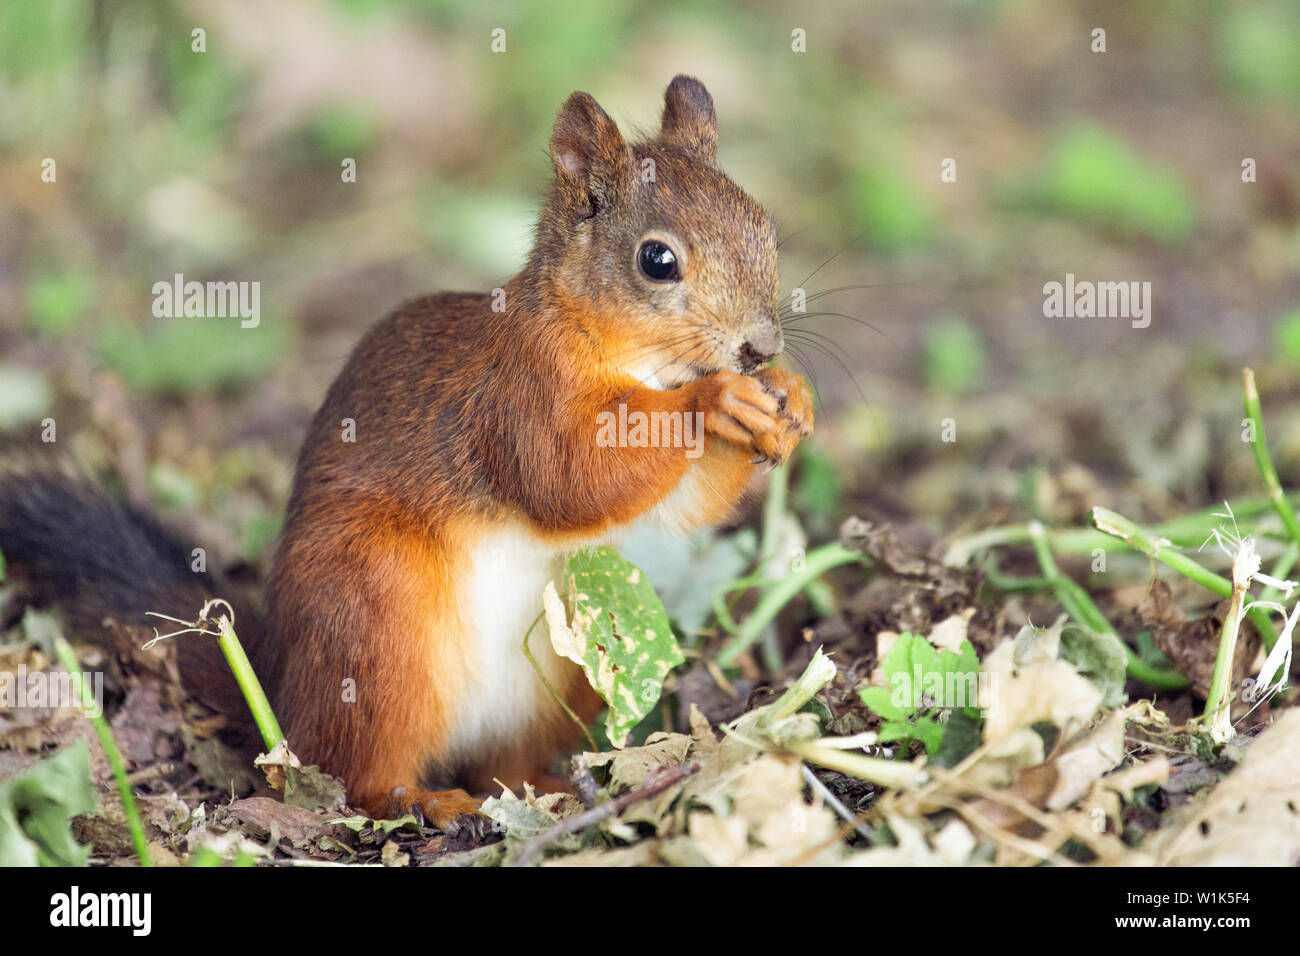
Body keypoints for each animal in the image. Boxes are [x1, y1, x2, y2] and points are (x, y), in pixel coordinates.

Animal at [0, 75, 812, 830]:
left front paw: (789, 399)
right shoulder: (518, 395)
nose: (760, 346)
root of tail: (282, 689)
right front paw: (714, 401)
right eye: (657, 260)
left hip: (563, 670)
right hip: (377, 614)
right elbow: (568, 475)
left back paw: (542, 786)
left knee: (497, 764)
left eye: (766, 228)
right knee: (354, 770)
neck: (625, 352)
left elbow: (681, 503)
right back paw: (424, 799)